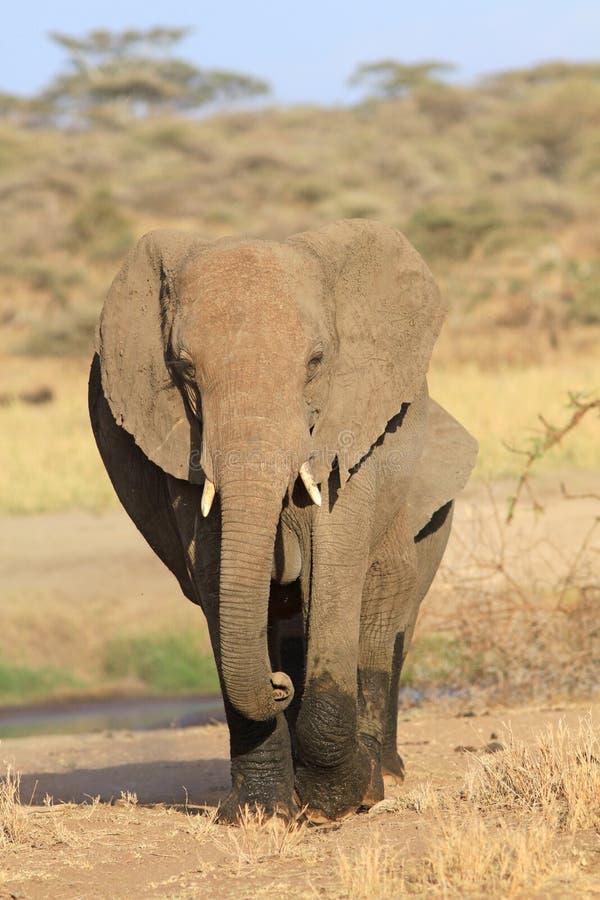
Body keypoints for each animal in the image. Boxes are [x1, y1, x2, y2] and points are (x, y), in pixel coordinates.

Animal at [89, 219, 477, 823]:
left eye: (316, 362)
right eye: (184, 369)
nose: (277, 687)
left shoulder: (350, 423)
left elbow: (335, 566)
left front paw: (343, 798)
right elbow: (214, 572)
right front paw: (264, 811)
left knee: (385, 608)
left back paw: (383, 772)